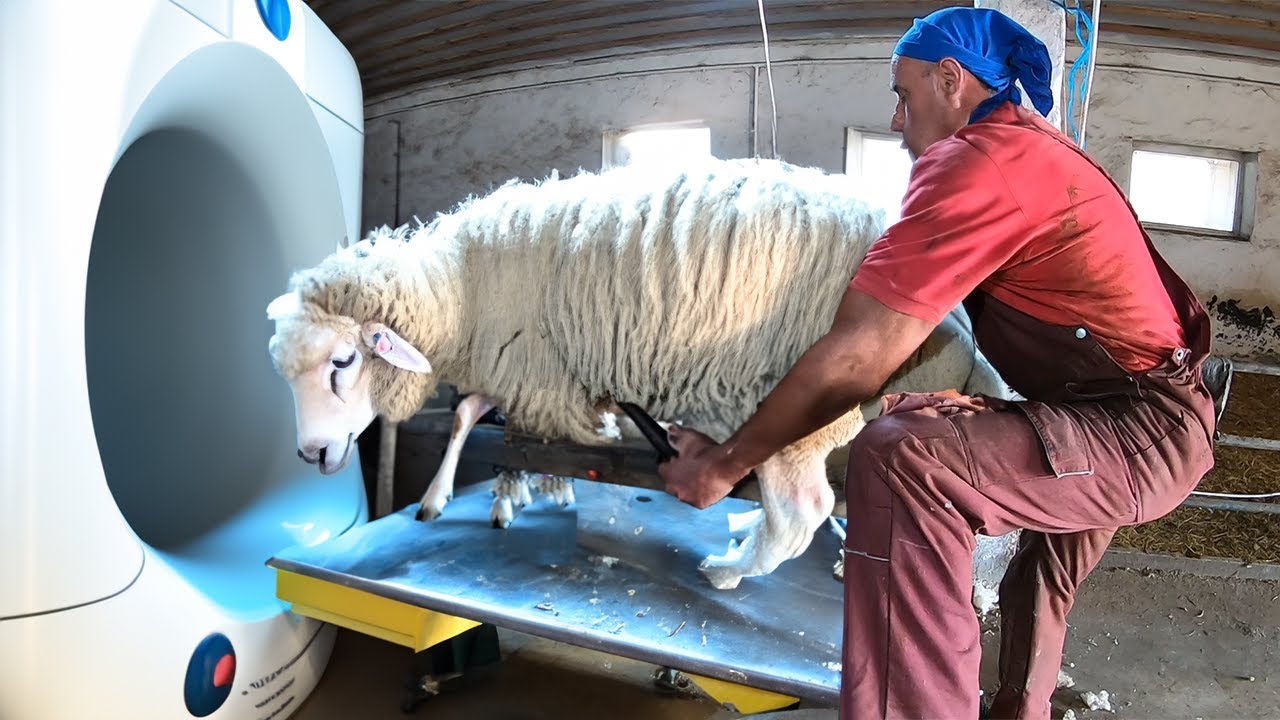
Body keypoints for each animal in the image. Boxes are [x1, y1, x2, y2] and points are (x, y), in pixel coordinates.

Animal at [265, 156, 1015, 591]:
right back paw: (745, 532)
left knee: (804, 509)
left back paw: (730, 569)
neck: (461, 287)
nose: (311, 453)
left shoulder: (537, 368)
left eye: (342, 361)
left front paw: (516, 491)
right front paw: (482, 493)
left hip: (804, 403)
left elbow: (493, 426)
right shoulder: (530, 368)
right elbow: (471, 417)